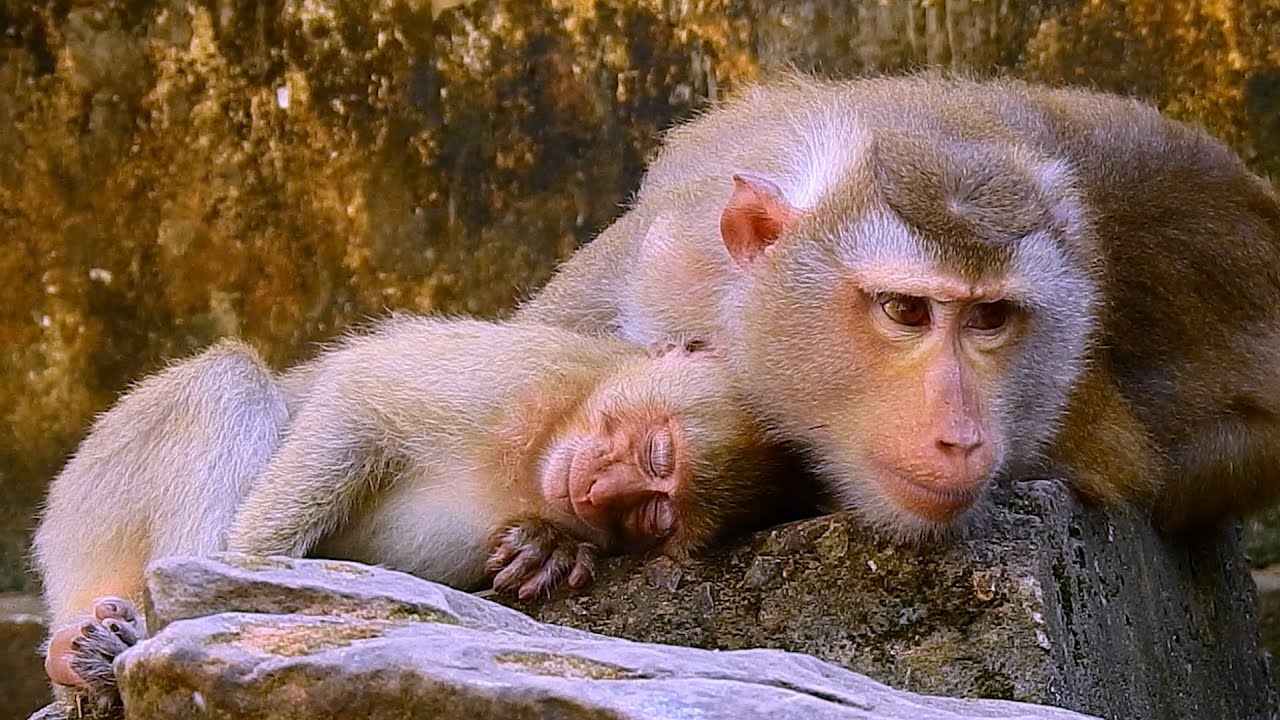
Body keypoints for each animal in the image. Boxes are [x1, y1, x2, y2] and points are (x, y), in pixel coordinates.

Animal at [33, 316, 793, 713]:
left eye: (652, 513)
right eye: (655, 450)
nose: (601, 485)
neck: (541, 451)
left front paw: (548, 545)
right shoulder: (527, 368)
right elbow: (357, 402)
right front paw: (230, 587)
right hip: (91, 498)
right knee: (232, 380)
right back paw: (113, 646)